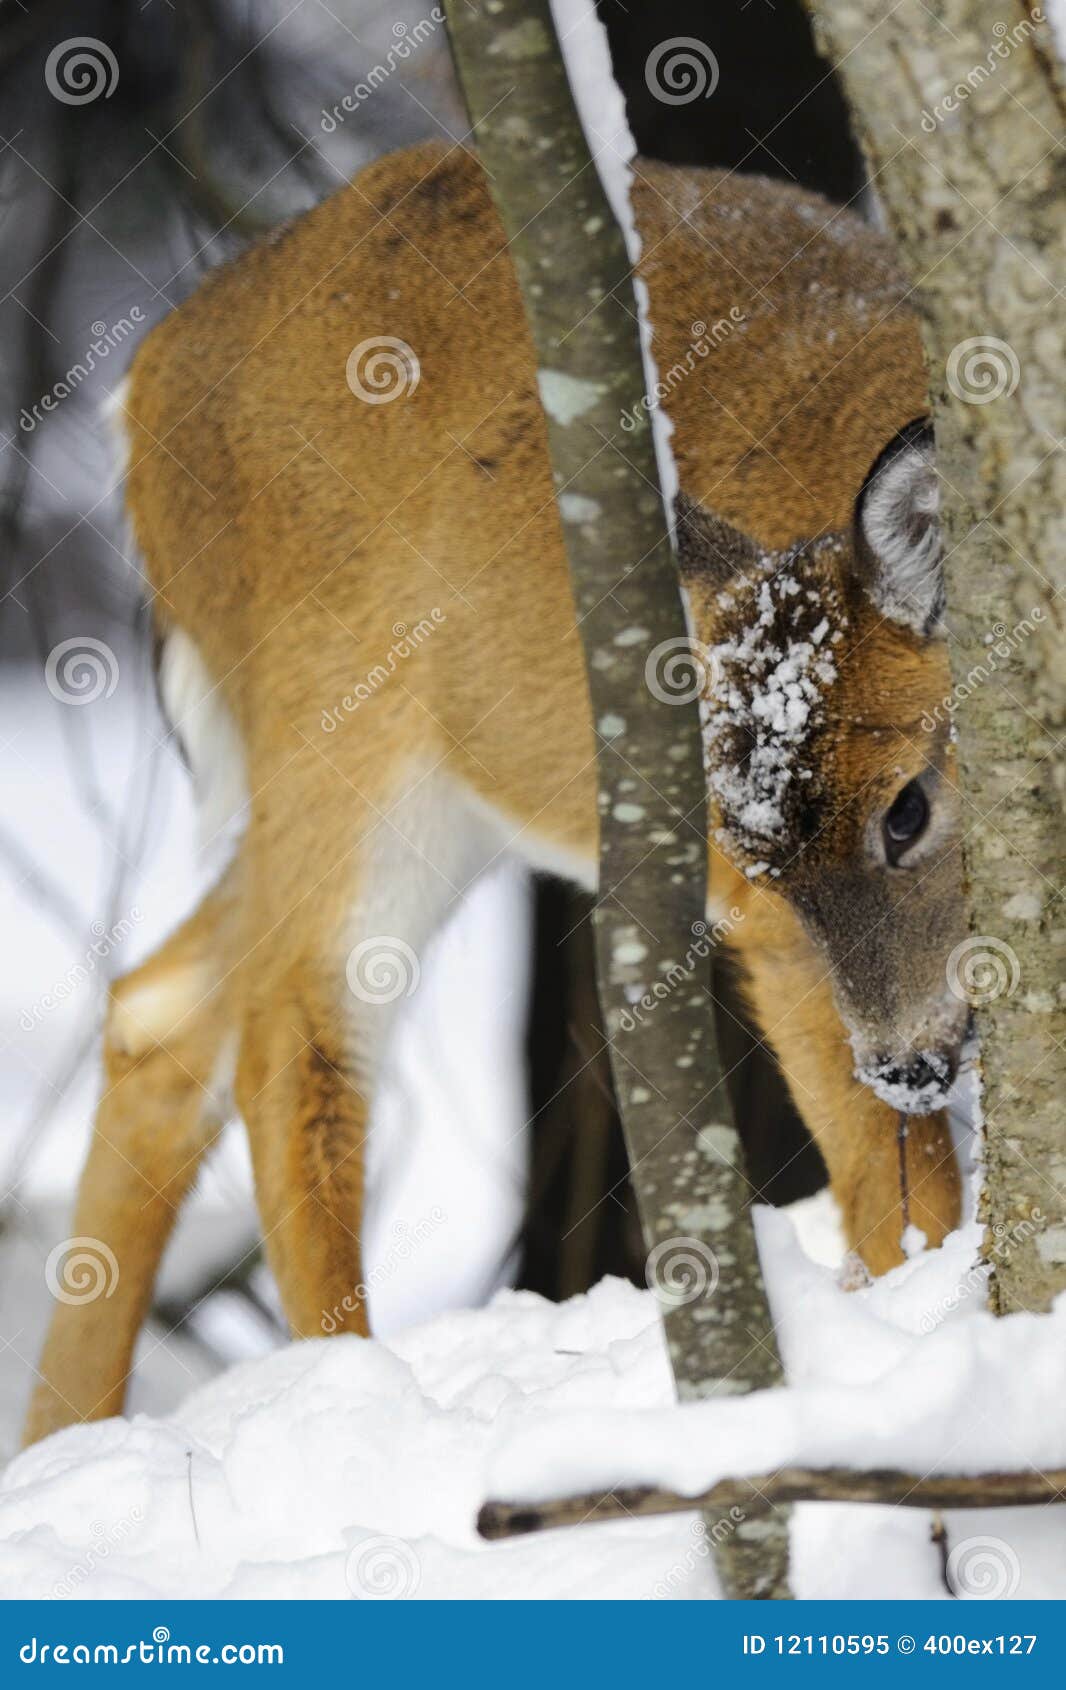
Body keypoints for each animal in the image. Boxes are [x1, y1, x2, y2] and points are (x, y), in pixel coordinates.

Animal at [26, 140, 967, 1446]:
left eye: (906, 809)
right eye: (755, 851)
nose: (908, 1066)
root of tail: (150, 375)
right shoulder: (770, 932)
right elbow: (899, 1196)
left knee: (157, 1011)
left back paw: (66, 1444)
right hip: (343, 735)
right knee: (291, 1042)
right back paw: (357, 1402)